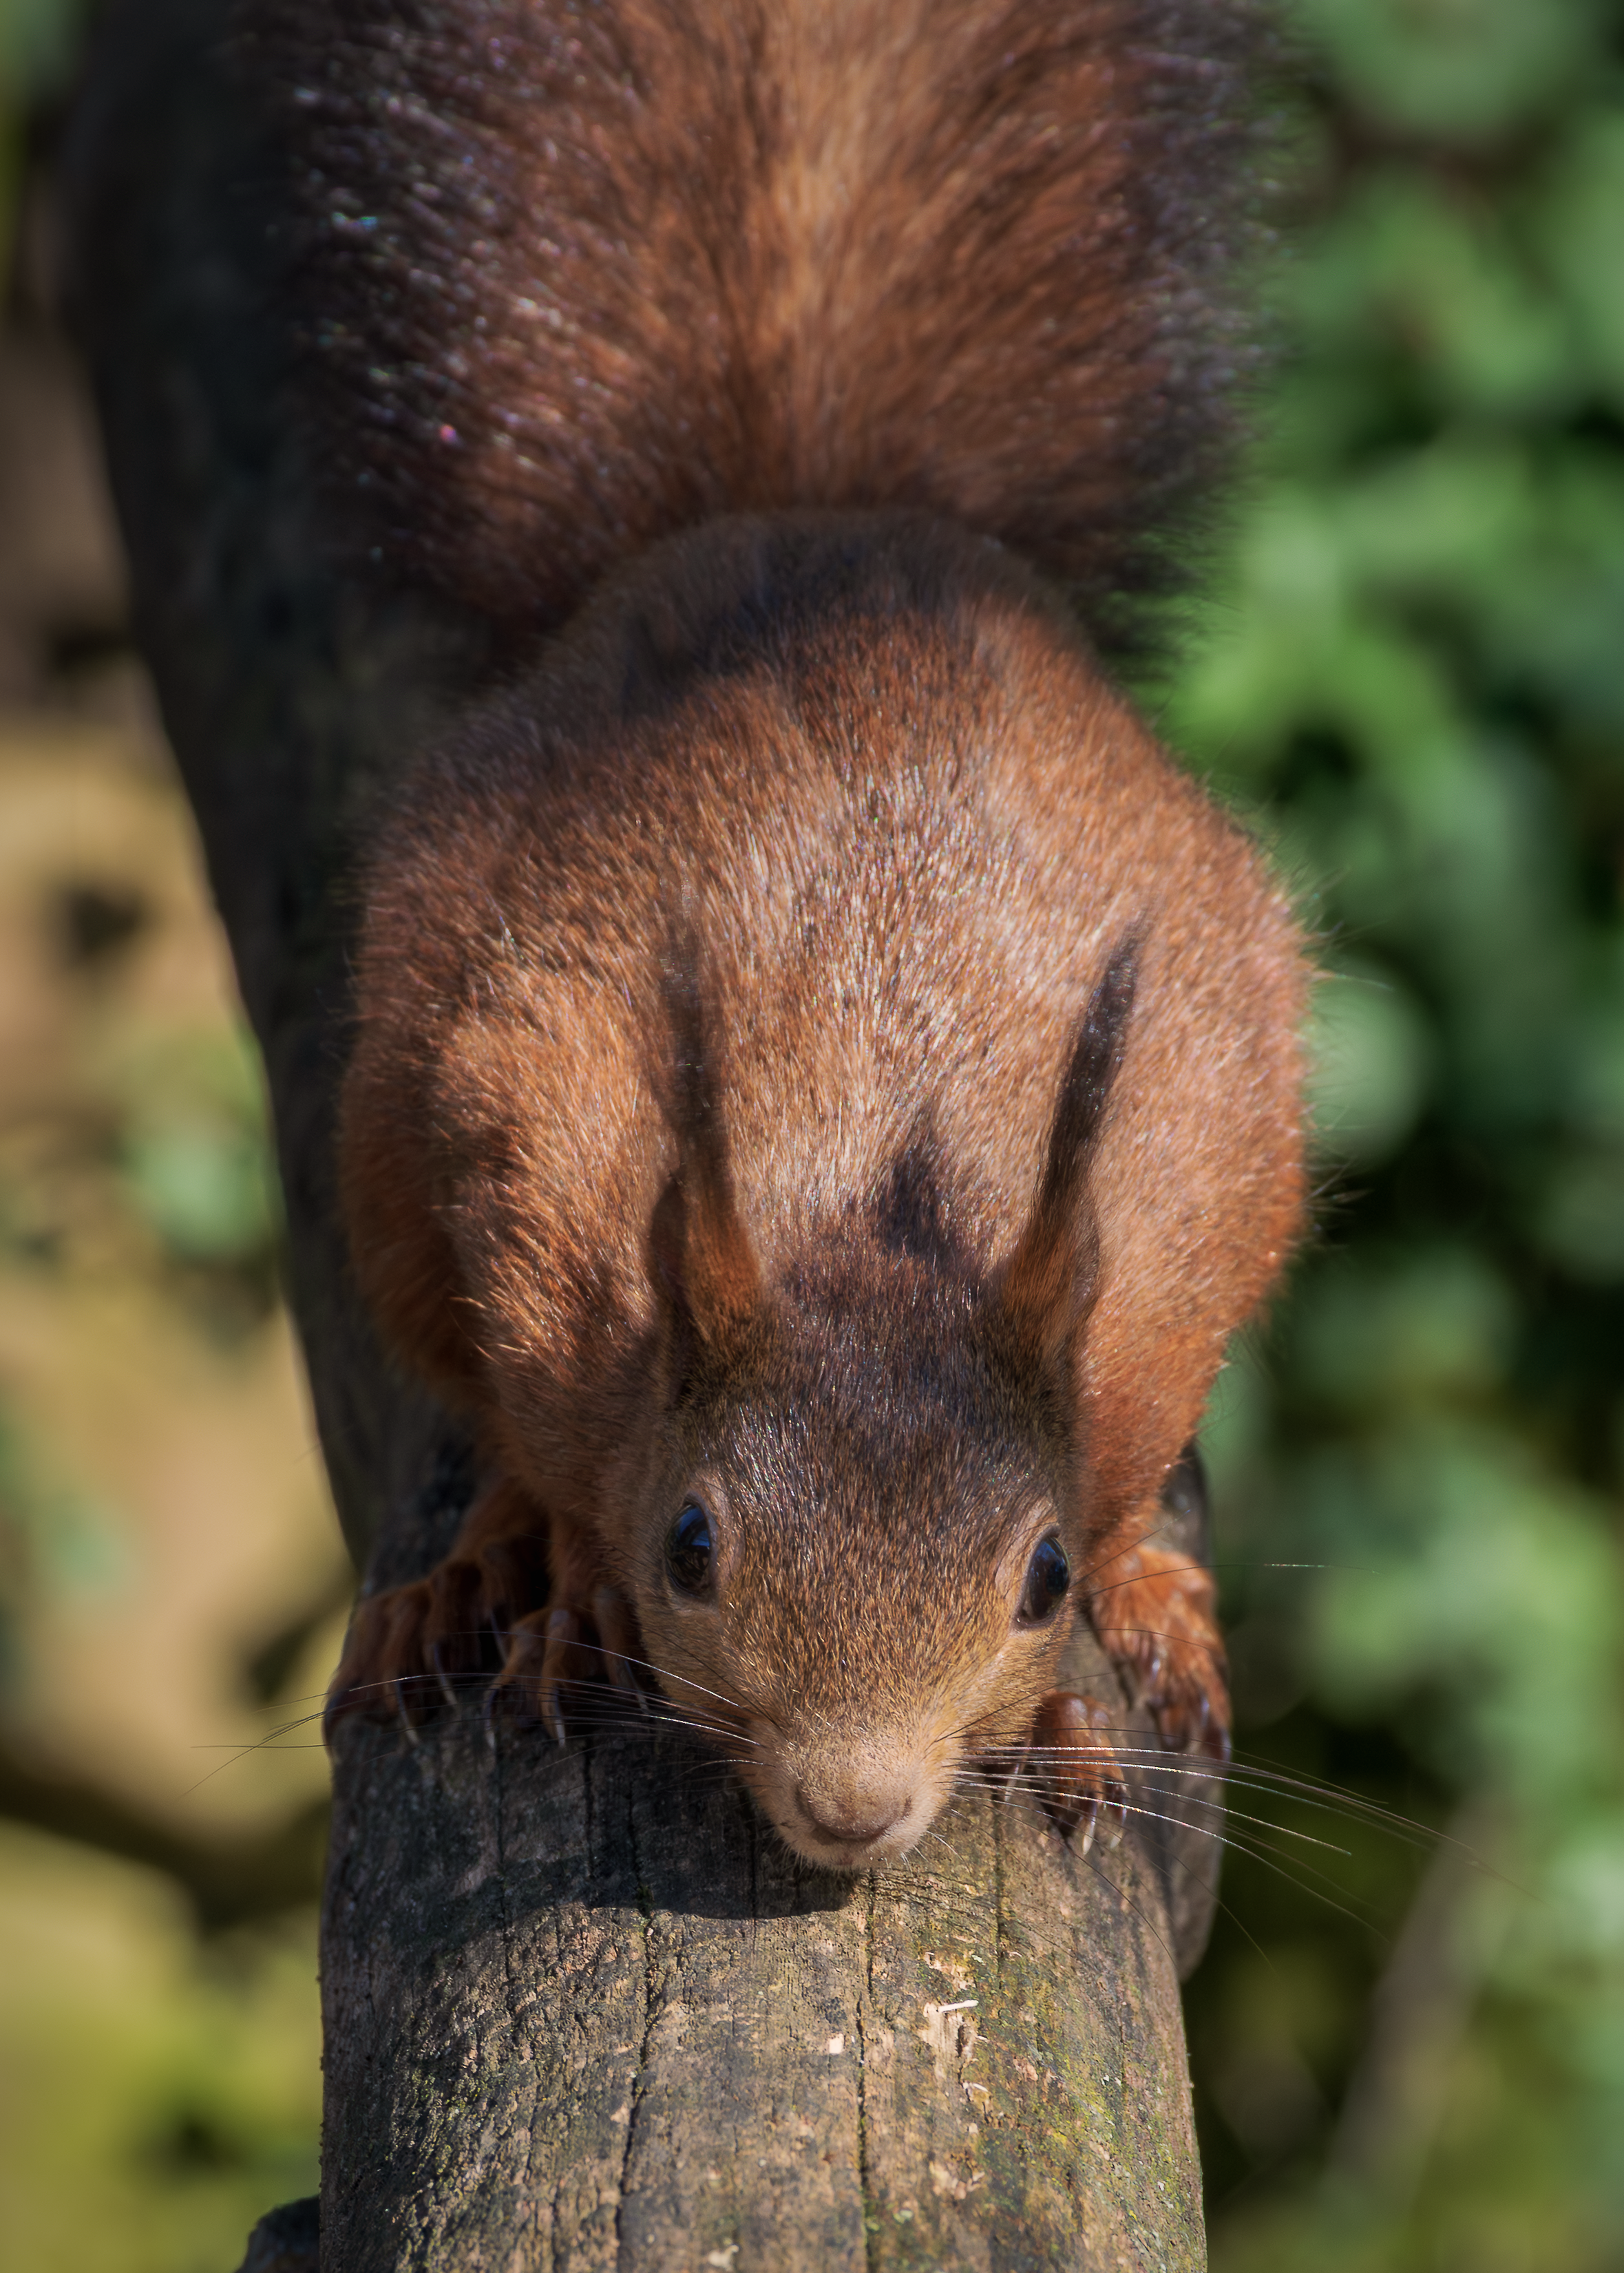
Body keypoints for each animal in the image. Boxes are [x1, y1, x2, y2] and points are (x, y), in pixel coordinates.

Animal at [259, 0, 1309, 1871]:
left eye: (1036, 1575)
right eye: (692, 1543)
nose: (852, 1806)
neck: (868, 1185)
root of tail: (809, 519)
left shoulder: (1163, 1251)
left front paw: (1078, 1673)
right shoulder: (545, 1174)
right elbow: (548, 1452)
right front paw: (576, 1600)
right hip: (390, 1138)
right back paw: (474, 1575)